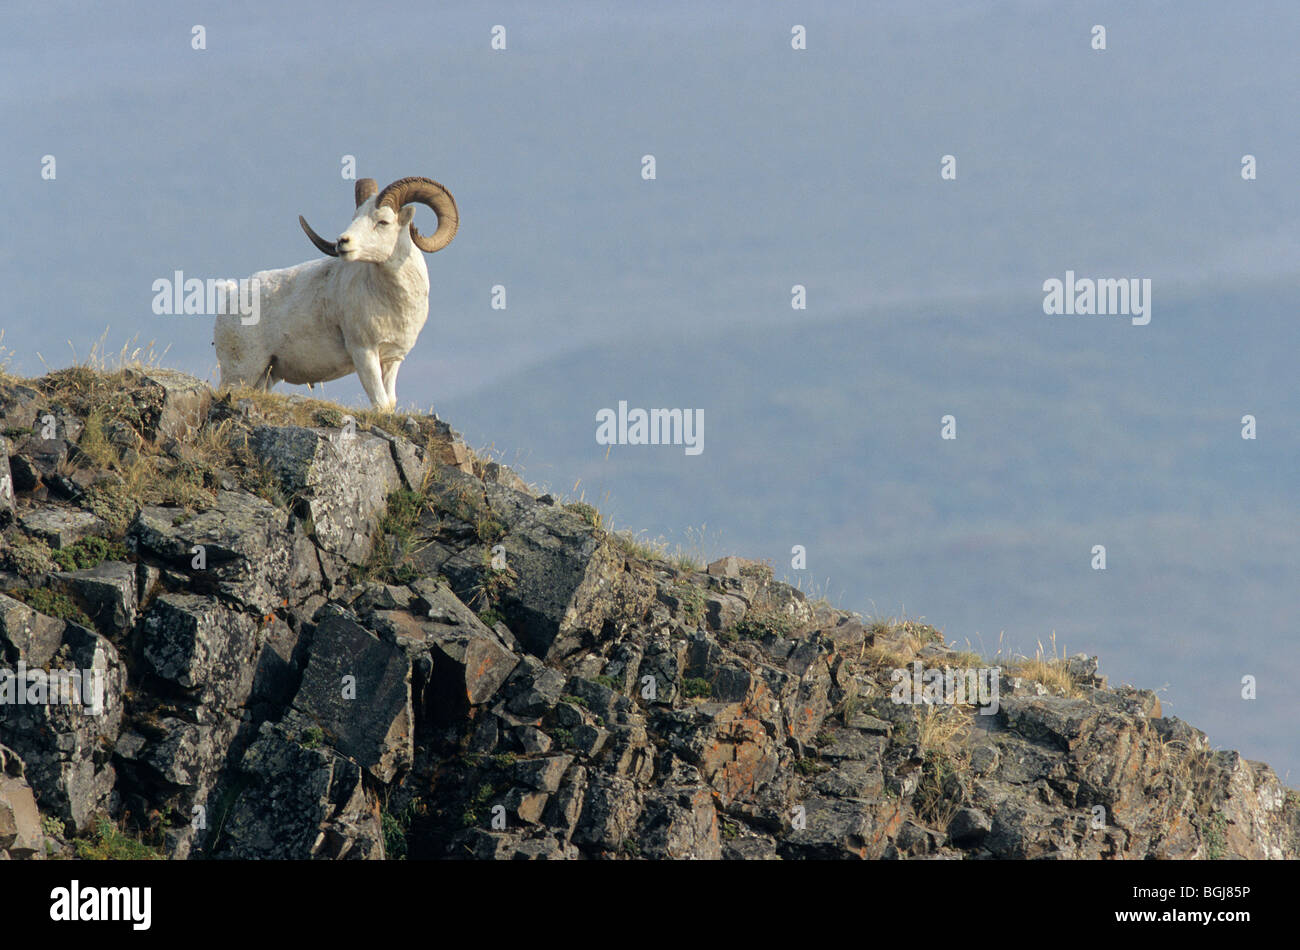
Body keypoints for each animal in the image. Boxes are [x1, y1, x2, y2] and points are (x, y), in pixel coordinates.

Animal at [213, 175, 458, 410]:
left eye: (383, 221)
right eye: (355, 217)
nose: (343, 242)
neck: (393, 302)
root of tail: (231, 296)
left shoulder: (392, 360)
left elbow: (389, 402)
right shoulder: (364, 352)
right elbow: (381, 404)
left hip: (265, 375)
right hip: (241, 372)